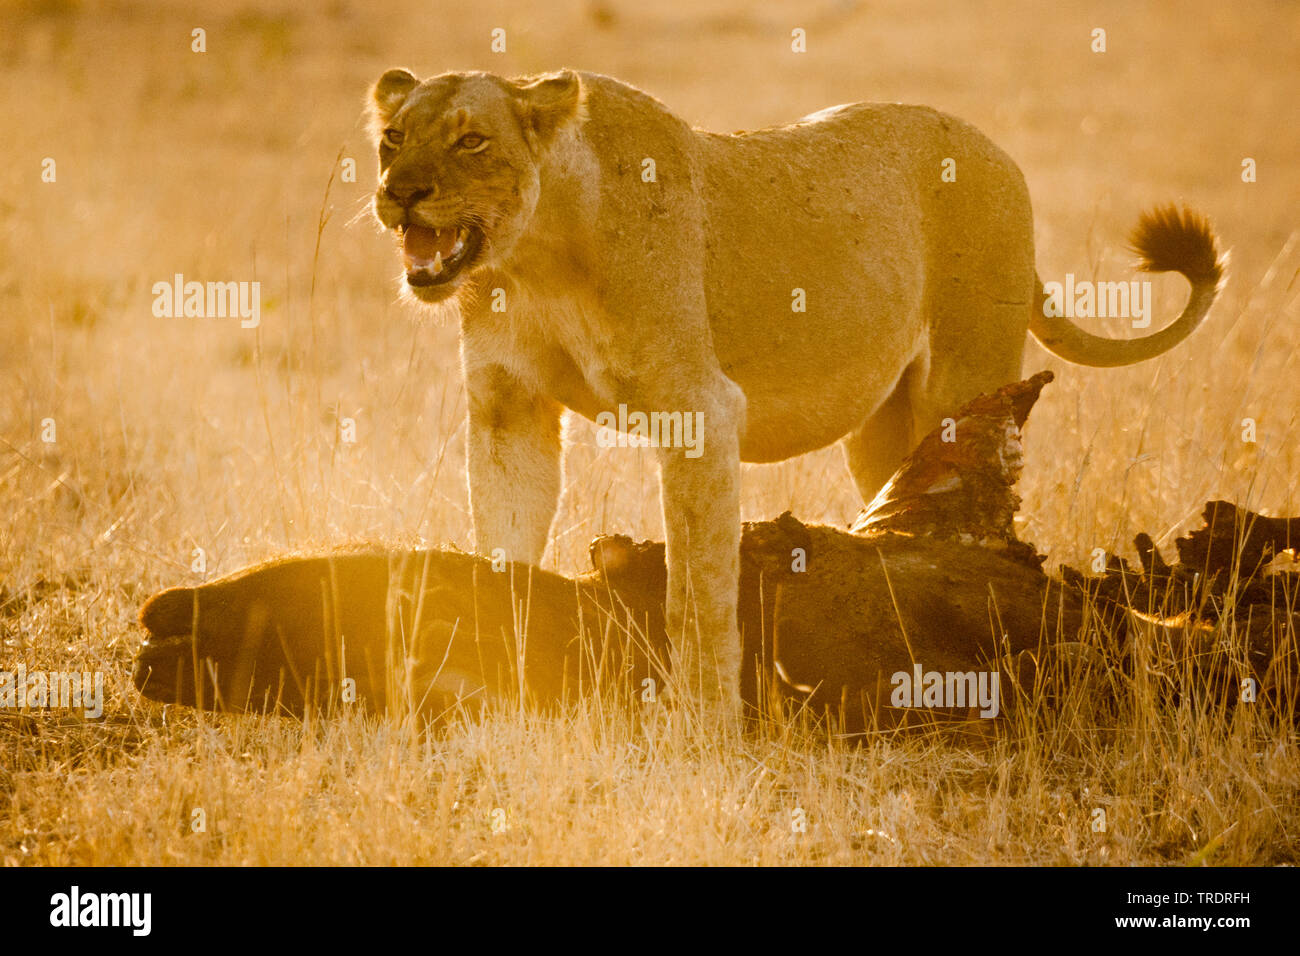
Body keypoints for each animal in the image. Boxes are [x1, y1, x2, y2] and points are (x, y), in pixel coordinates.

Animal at [366, 67, 1226, 716]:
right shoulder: (506, 412)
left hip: (968, 380)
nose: (398, 191)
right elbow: (502, 551)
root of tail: (994, 148)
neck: (533, 255)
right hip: (883, 430)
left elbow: (697, 593)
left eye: (472, 139)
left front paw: (706, 728)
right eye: (393, 138)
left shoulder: (701, 409)